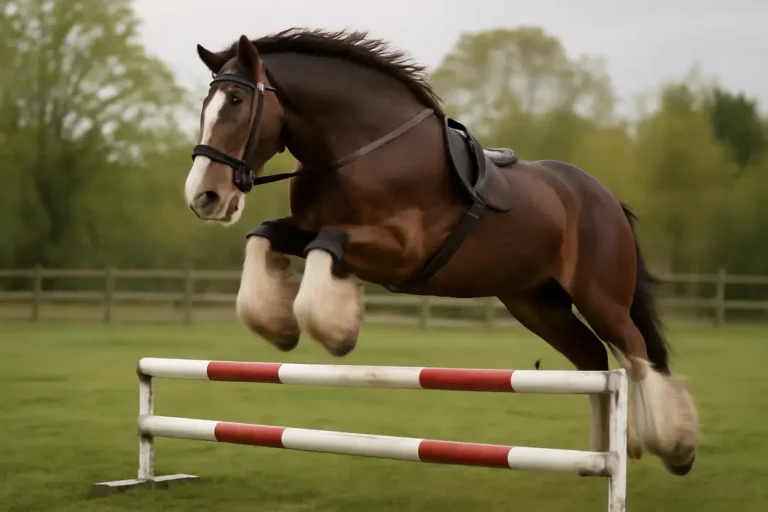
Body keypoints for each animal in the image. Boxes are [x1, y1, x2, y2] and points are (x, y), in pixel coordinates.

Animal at [183, 28, 699, 477]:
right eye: (207, 105)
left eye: (237, 102)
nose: (204, 197)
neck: (360, 150)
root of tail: (608, 199)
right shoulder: (307, 230)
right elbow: (265, 234)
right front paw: (280, 325)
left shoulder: (401, 249)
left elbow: (324, 248)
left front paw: (336, 331)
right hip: (537, 303)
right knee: (593, 359)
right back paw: (599, 456)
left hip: (600, 297)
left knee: (636, 355)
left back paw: (674, 447)